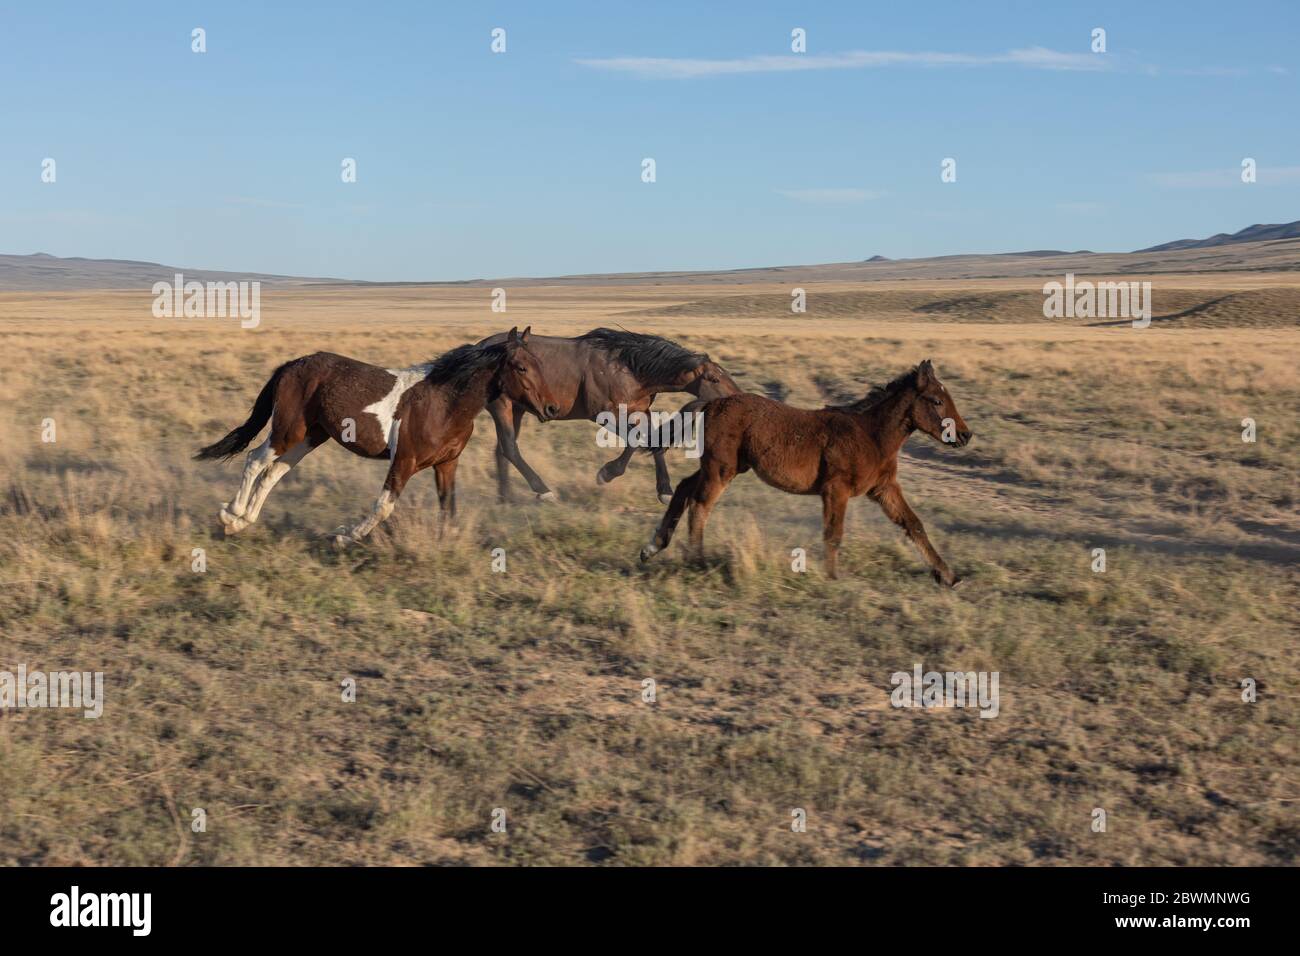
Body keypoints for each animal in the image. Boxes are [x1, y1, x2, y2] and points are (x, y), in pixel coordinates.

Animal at [194, 327, 560, 546]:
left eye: (539, 363)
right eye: (522, 368)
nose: (552, 407)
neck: (445, 402)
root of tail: (291, 365)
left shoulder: (446, 464)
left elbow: (448, 508)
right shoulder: (404, 460)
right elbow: (383, 506)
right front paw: (344, 536)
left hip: (312, 437)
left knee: (273, 472)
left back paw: (242, 522)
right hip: (288, 430)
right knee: (255, 460)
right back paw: (230, 515)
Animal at [475, 327, 742, 504]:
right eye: (714, 379)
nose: (739, 397)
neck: (629, 369)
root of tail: (480, 347)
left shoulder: (638, 411)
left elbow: (654, 442)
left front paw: (665, 491)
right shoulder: (603, 414)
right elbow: (637, 441)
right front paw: (606, 474)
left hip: (517, 409)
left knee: (501, 450)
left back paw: (505, 499)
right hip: (502, 406)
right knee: (509, 448)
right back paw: (542, 490)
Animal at [639, 359, 973, 585]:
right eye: (937, 400)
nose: (965, 435)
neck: (870, 435)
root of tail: (713, 402)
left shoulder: (884, 489)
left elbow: (913, 524)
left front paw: (948, 576)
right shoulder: (836, 490)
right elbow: (833, 534)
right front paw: (833, 579)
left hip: (722, 467)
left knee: (684, 489)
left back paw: (653, 547)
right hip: (721, 469)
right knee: (700, 505)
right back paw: (697, 562)